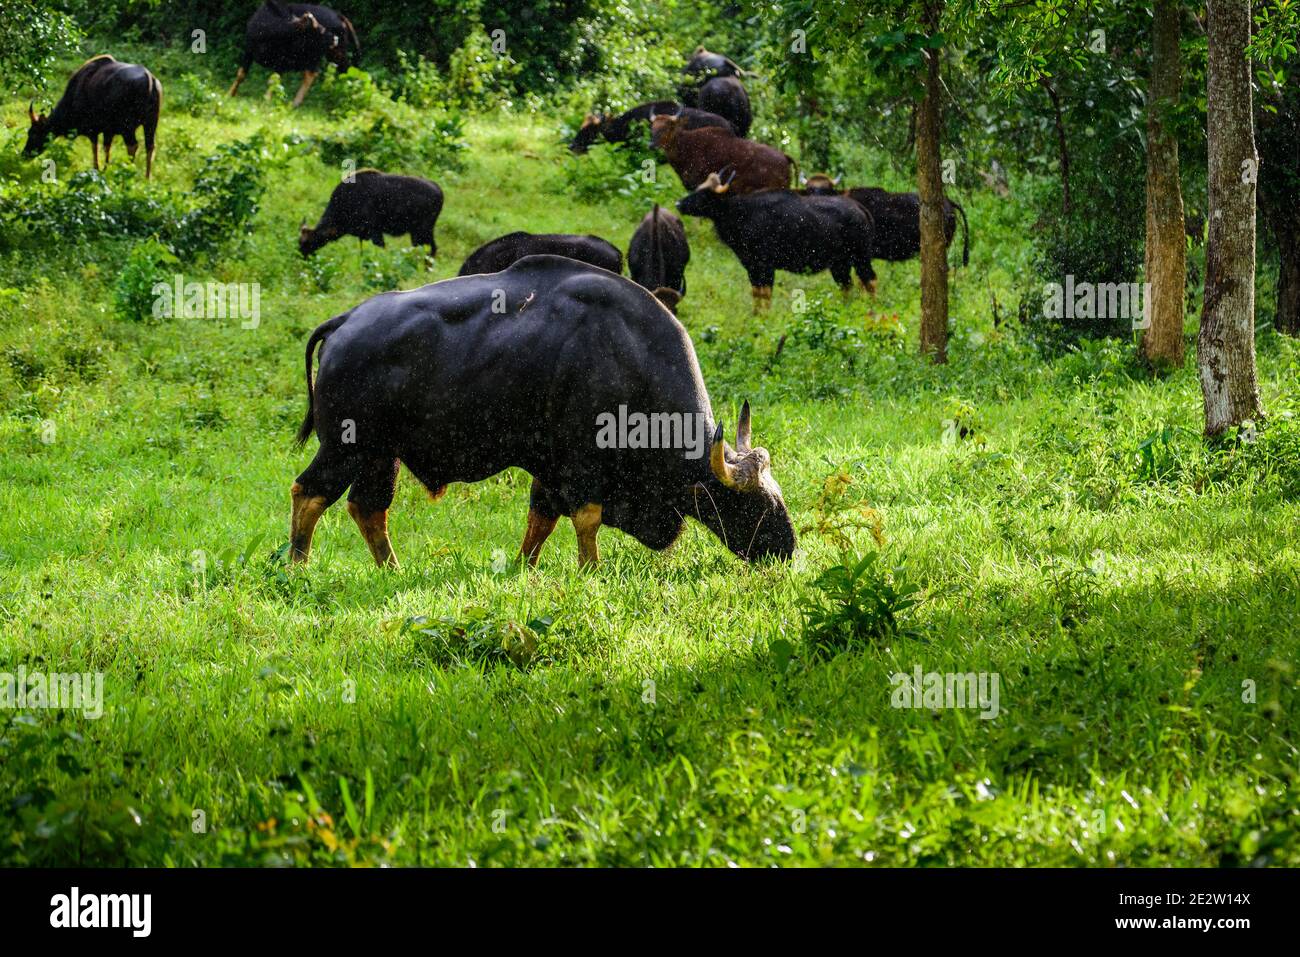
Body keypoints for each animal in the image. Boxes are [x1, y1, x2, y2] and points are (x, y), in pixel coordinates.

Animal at [24, 55, 162, 179]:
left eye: (33, 133)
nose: (24, 154)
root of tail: (150, 79)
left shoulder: (93, 130)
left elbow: (95, 147)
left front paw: (96, 168)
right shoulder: (108, 130)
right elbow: (106, 147)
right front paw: (105, 168)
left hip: (127, 127)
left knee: (133, 145)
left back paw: (128, 172)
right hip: (151, 123)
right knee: (150, 146)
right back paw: (147, 177)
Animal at [228, 2, 360, 107]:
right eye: (318, 29)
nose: (334, 38)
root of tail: (339, 16)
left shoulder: (282, 61)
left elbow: (273, 81)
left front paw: (265, 101)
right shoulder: (249, 50)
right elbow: (241, 74)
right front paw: (230, 94)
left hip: (327, 54)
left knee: (317, 73)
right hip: (329, 55)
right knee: (339, 70)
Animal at [289, 255, 795, 567]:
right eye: (752, 502)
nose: (787, 549)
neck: (629, 355)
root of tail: (345, 322)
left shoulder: (549, 469)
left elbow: (541, 519)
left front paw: (523, 568)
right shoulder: (581, 464)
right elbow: (586, 518)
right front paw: (590, 570)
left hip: (380, 455)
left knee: (368, 507)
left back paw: (391, 569)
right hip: (345, 446)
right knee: (308, 493)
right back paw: (298, 566)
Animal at [299, 170, 442, 261]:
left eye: (306, 242)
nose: (303, 256)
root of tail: (438, 189)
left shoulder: (375, 232)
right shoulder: (363, 236)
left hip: (421, 232)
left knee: (429, 250)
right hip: (422, 233)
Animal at [677, 170, 877, 311]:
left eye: (704, 193)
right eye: (698, 188)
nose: (678, 204)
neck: (742, 213)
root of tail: (861, 209)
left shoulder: (766, 266)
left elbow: (765, 294)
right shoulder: (752, 266)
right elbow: (757, 293)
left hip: (861, 258)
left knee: (870, 280)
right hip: (840, 264)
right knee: (847, 286)